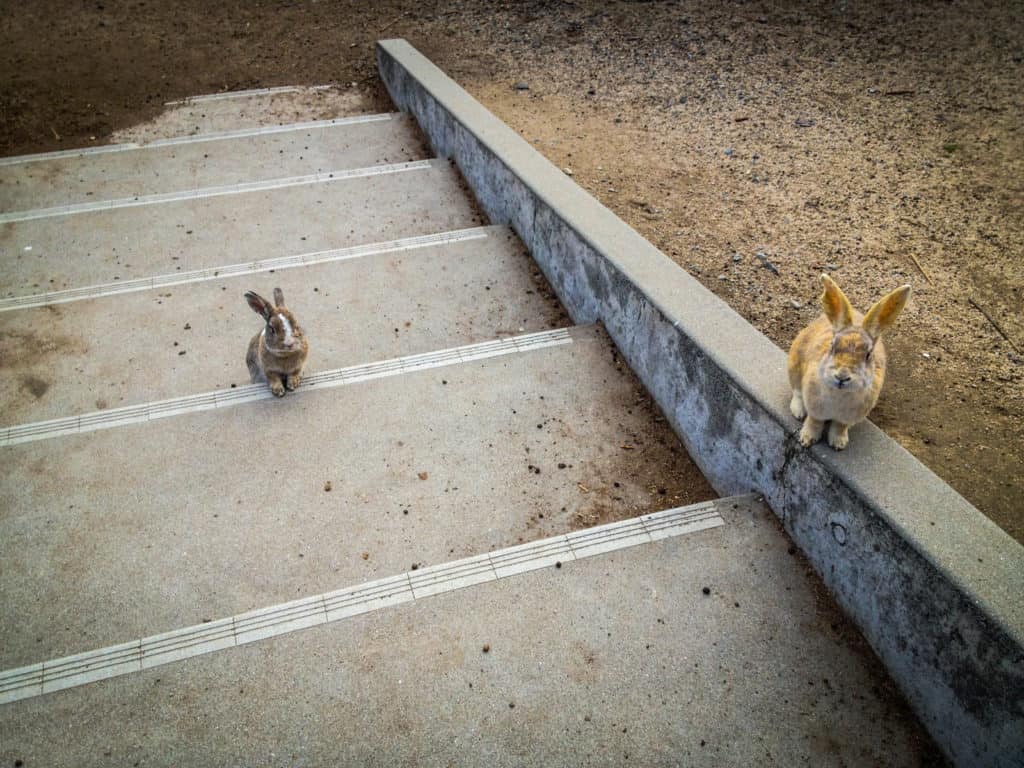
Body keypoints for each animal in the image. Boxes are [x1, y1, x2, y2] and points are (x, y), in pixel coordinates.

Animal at [787, 274, 910, 450]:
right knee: (796, 391)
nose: (842, 377)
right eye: (832, 346)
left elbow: (840, 426)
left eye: (868, 355)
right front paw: (806, 439)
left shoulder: (846, 418)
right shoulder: (815, 409)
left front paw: (838, 444)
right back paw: (798, 412)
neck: (840, 394)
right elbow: (814, 422)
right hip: (794, 366)